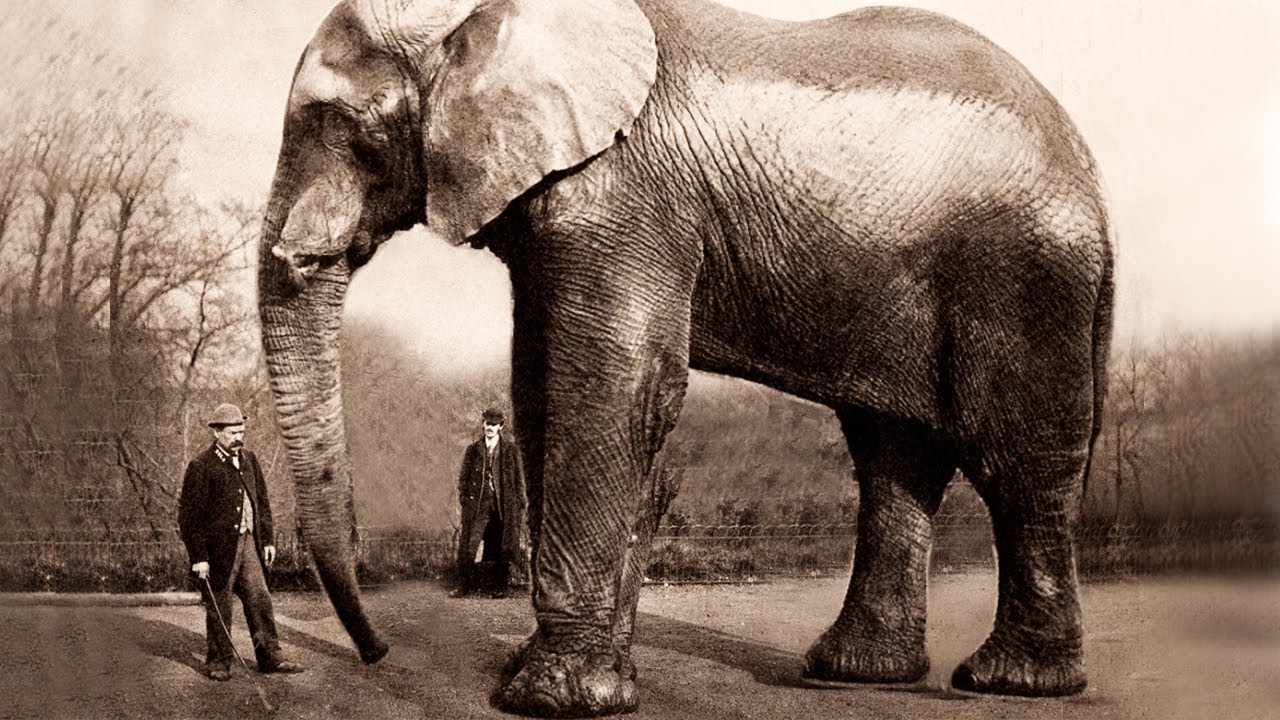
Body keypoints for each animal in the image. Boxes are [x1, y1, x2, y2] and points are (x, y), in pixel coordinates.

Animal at [257, 0, 1113, 716]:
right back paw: (856, 672)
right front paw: (584, 682)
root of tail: (1088, 166)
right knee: (895, 457)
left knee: (1014, 460)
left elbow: (615, 381)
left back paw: (1012, 682)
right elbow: (543, 384)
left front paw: (548, 698)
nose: (377, 653)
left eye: (349, 132)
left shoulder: (626, 193)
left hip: (1024, 275)